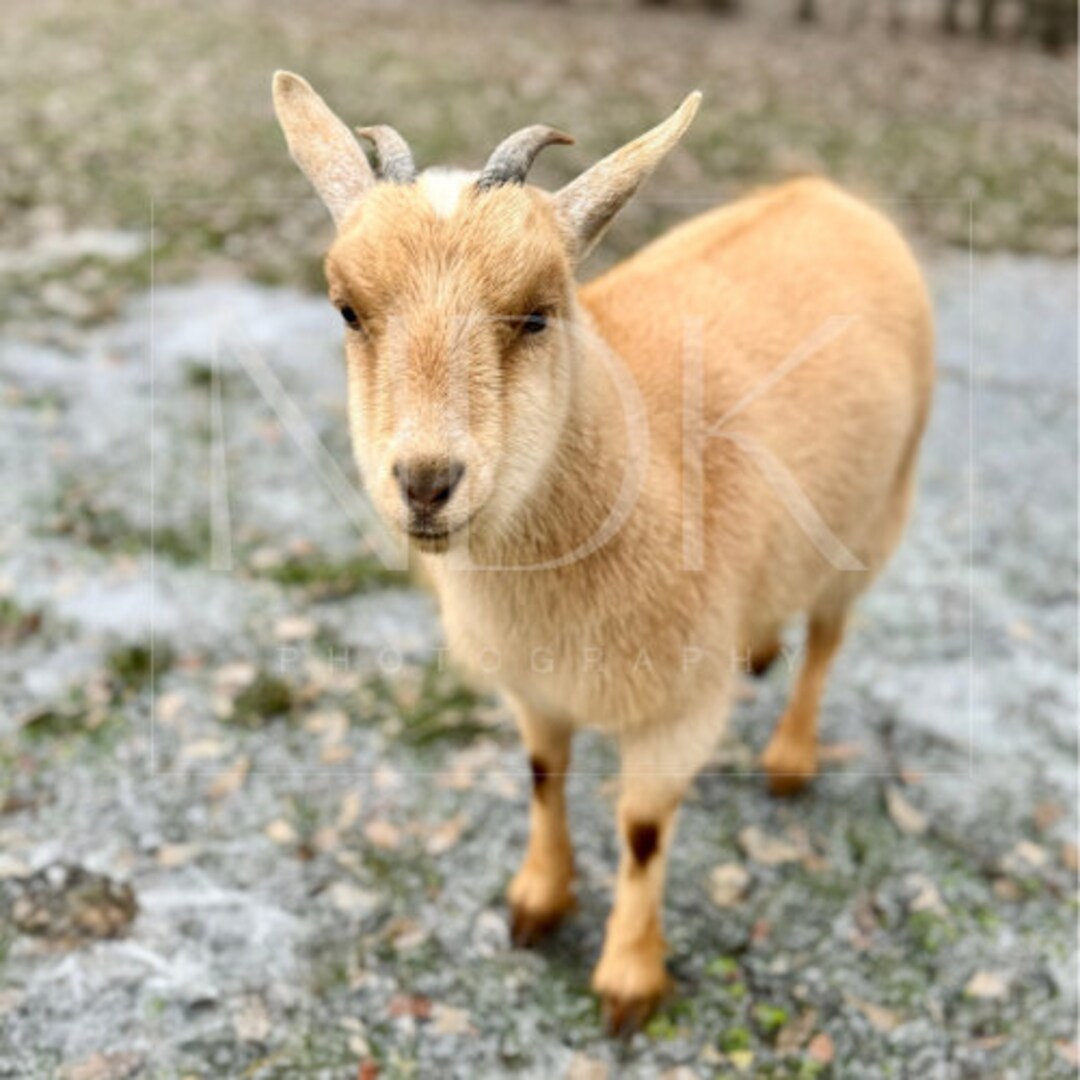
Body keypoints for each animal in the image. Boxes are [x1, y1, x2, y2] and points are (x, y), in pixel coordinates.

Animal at [272, 72, 934, 1033]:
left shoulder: (677, 711)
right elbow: (544, 775)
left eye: (538, 313)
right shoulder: (533, 688)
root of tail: (826, 192)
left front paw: (628, 977)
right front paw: (538, 901)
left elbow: (643, 831)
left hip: (881, 512)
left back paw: (789, 759)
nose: (427, 483)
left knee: (830, 636)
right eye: (348, 309)